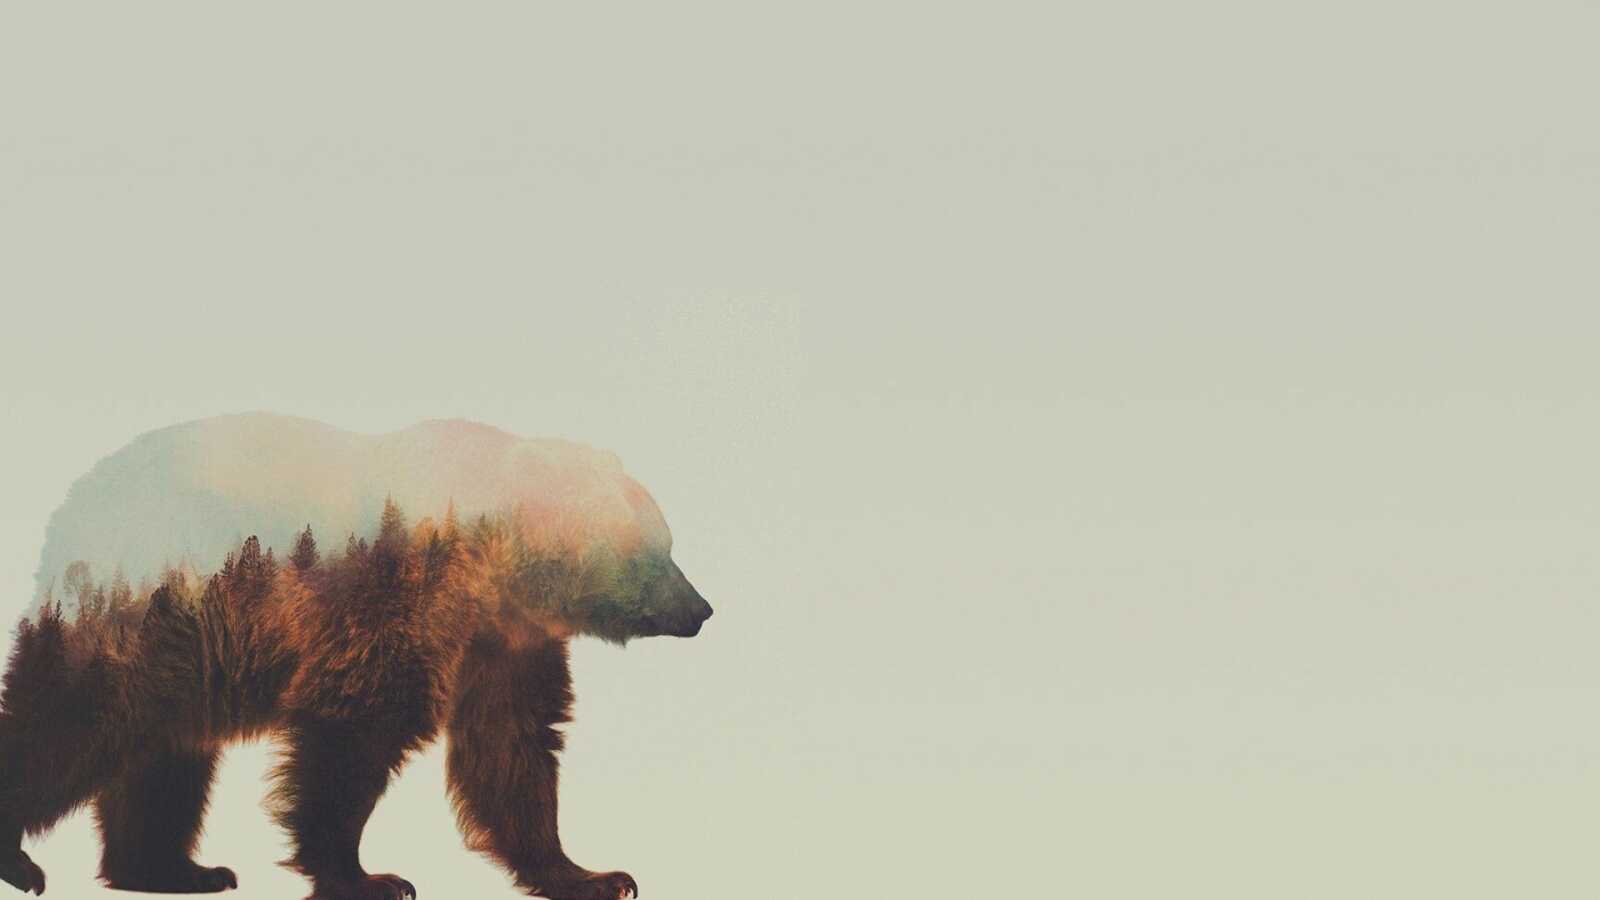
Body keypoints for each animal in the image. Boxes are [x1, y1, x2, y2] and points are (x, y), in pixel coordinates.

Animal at [0, 414, 714, 900]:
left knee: (166, 751)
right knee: (69, 724)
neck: (486, 555)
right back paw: (24, 861)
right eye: (658, 550)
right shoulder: (388, 594)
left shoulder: (500, 637)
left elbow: (513, 743)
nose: (702, 609)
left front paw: (592, 873)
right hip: (143, 610)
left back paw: (175, 868)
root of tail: (67, 514)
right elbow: (355, 729)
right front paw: (369, 877)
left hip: (185, 647)